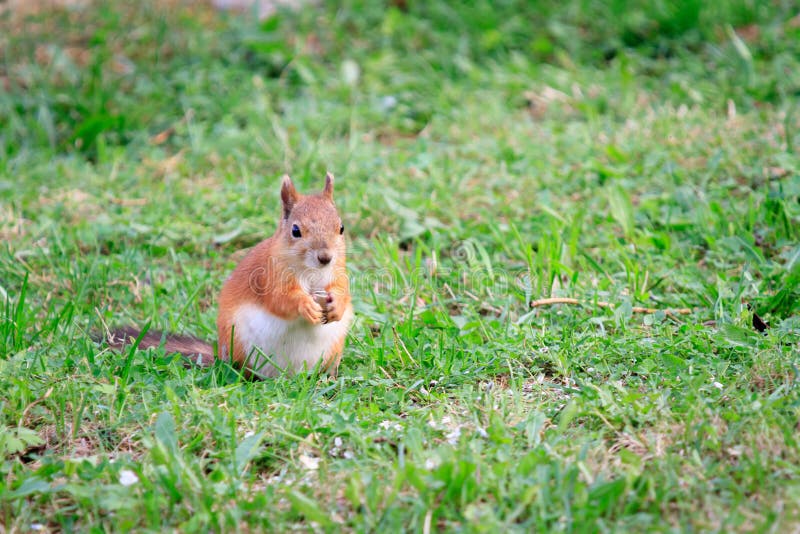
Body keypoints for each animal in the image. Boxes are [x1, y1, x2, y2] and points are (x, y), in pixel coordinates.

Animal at [109, 173, 354, 378]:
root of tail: (289, 376)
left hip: (333, 349)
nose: (325, 257)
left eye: (341, 227)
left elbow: (343, 291)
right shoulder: (269, 277)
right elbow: (280, 299)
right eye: (295, 231)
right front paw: (306, 306)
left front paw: (337, 305)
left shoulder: (339, 274)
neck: (312, 271)